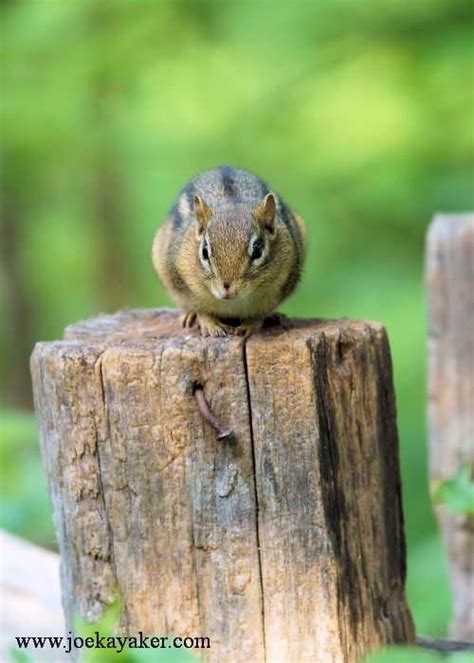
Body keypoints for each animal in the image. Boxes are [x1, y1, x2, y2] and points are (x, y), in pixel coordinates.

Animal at [152, 166, 306, 337]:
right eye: (204, 252)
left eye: (257, 251)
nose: (228, 290)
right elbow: (201, 310)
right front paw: (211, 326)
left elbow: (259, 315)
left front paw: (249, 326)